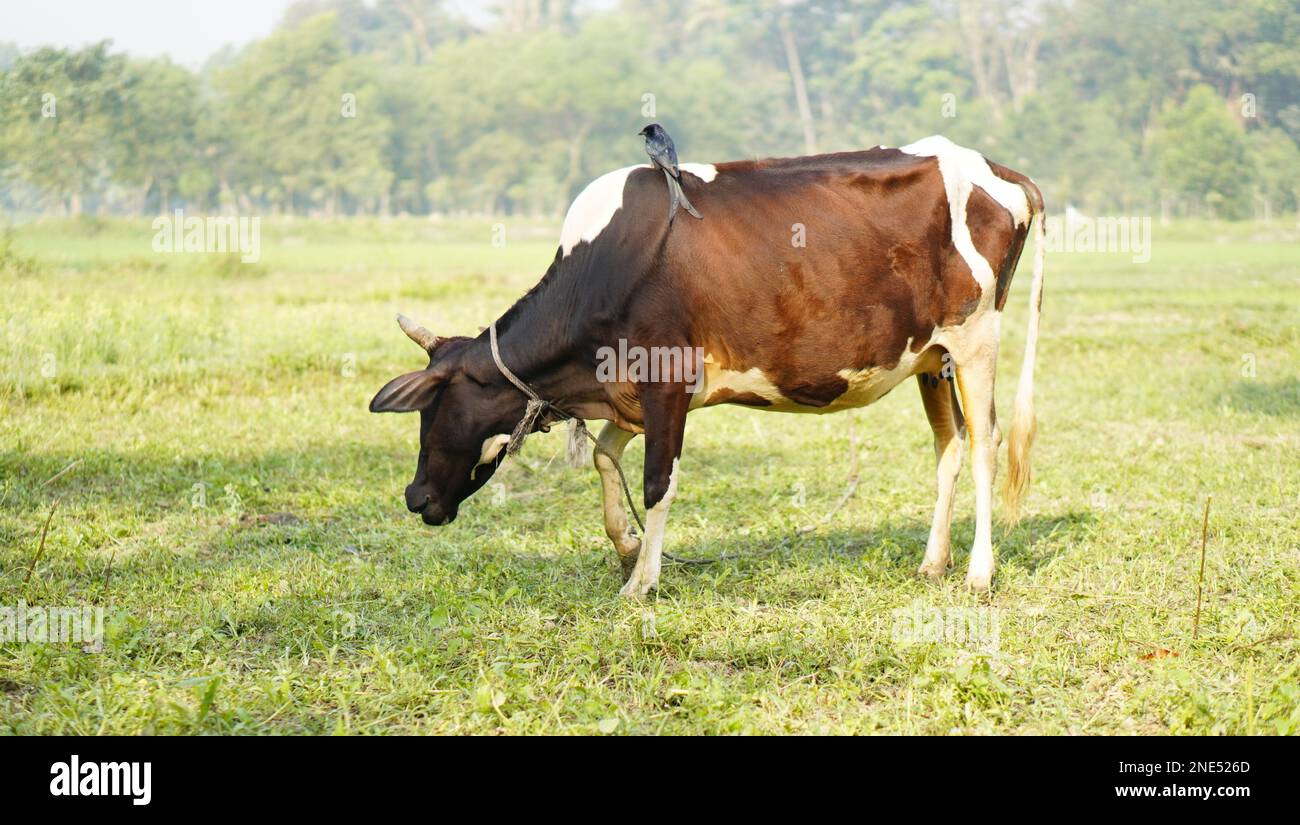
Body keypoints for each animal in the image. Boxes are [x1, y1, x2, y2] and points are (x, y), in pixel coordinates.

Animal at [370, 135, 1045, 595]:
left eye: (434, 409)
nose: (414, 496)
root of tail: (989, 166)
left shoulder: (666, 381)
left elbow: (656, 482)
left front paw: (641, 582)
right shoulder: (630, 392)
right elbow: (605, 457)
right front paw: (625, 546)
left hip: (977, 336)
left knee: (985, 442)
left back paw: (978, 572)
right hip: (932, 355)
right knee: (949, 446)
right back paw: (933, 562)